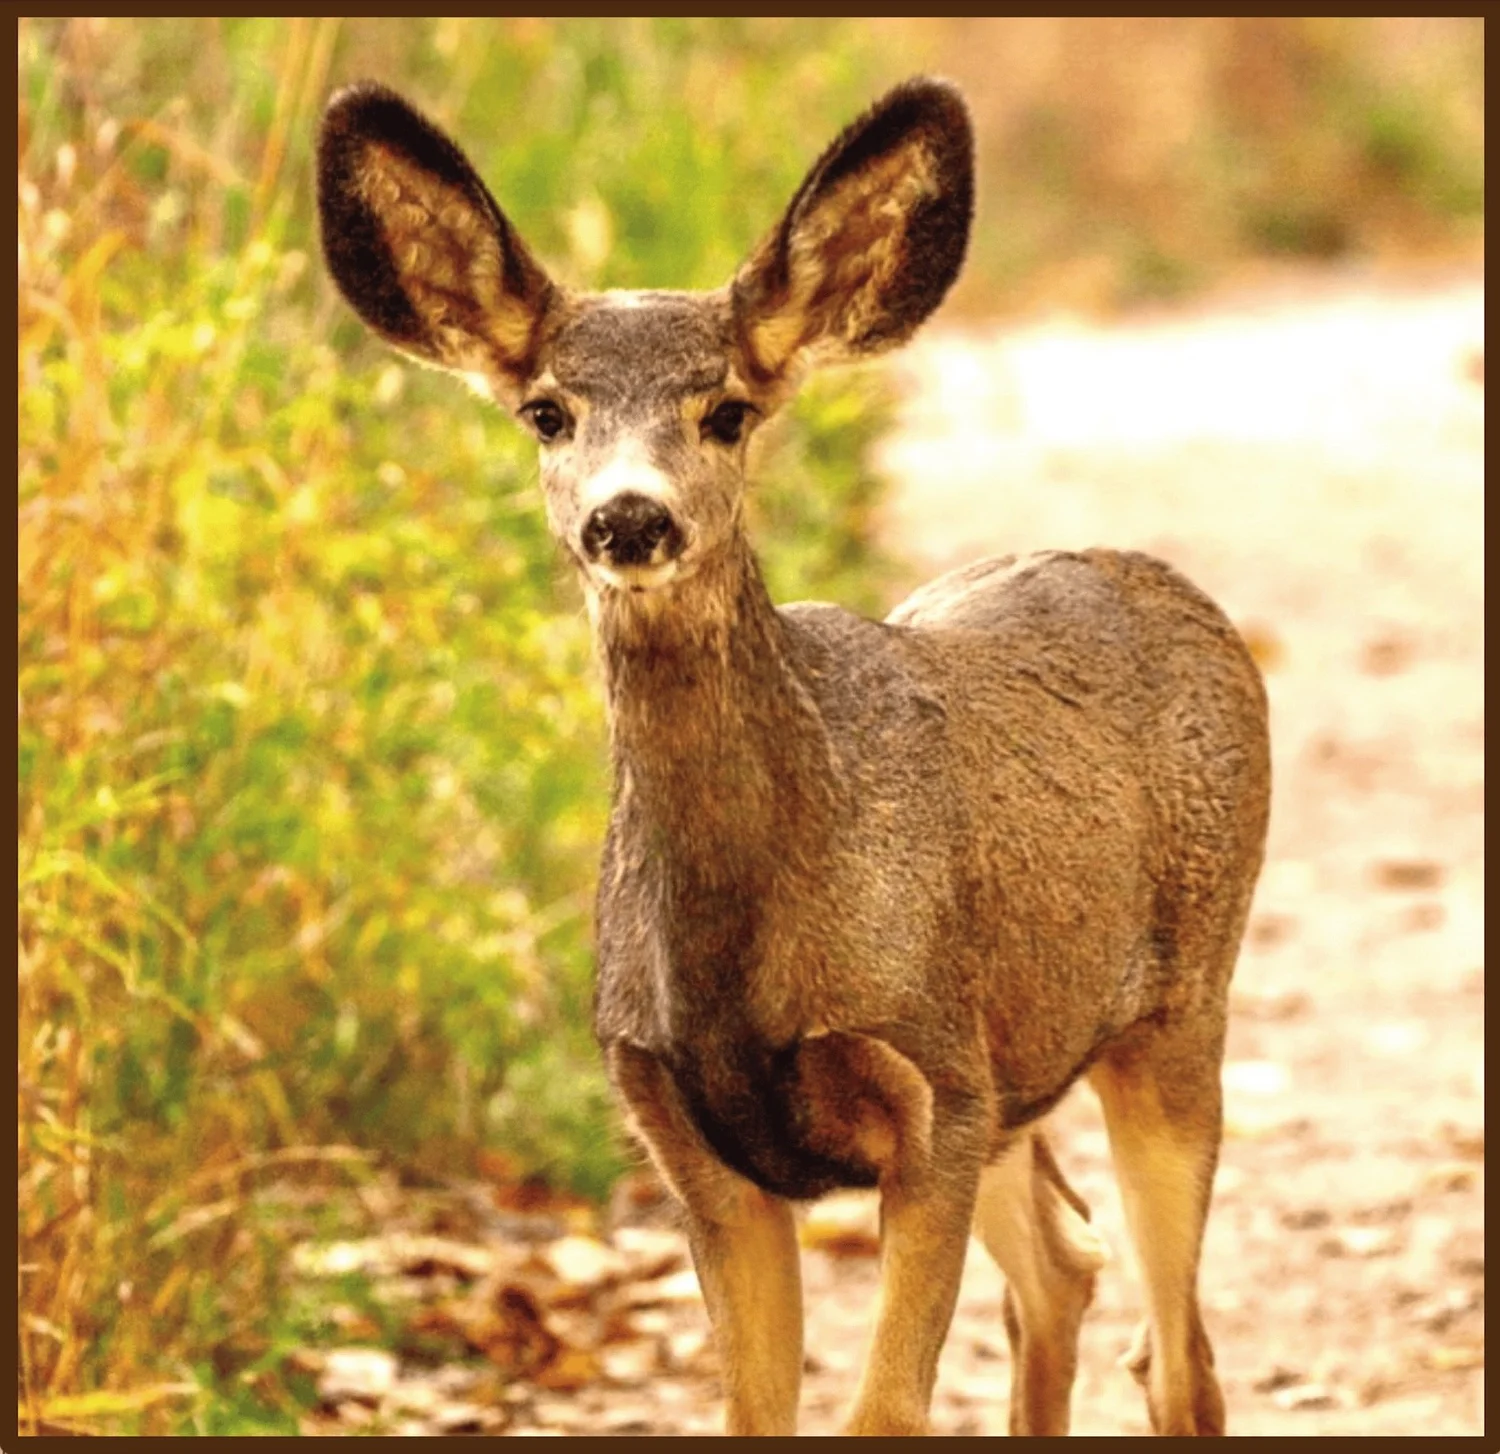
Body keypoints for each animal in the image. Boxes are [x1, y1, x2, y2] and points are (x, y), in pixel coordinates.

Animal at [317, 75, 1270, 1437]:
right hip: (1024, 1076)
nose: (629, 516)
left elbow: (886, 1410)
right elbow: (756, 1410)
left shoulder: (931, 1082)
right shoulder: (692, 1136)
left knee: (1179, 1352)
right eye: (547, 410)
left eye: (727, 410)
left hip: (1178, 1008)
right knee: (1067, 1267)